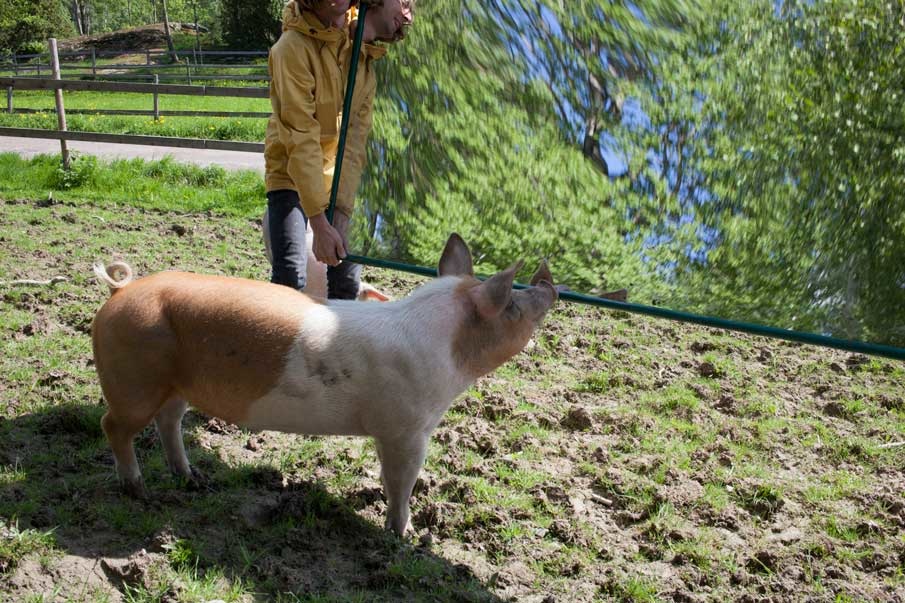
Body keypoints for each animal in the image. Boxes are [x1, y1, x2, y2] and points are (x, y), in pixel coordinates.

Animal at [91, 233, 557, 535]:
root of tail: (120, 291)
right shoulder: (406, 429)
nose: (547, 281)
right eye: (513, 305)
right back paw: (138, 490)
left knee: (168, 422)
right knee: (112, 425)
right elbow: (402, 480)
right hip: (133, 380)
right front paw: (402, 535)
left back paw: (193, 478)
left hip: (174, 384)